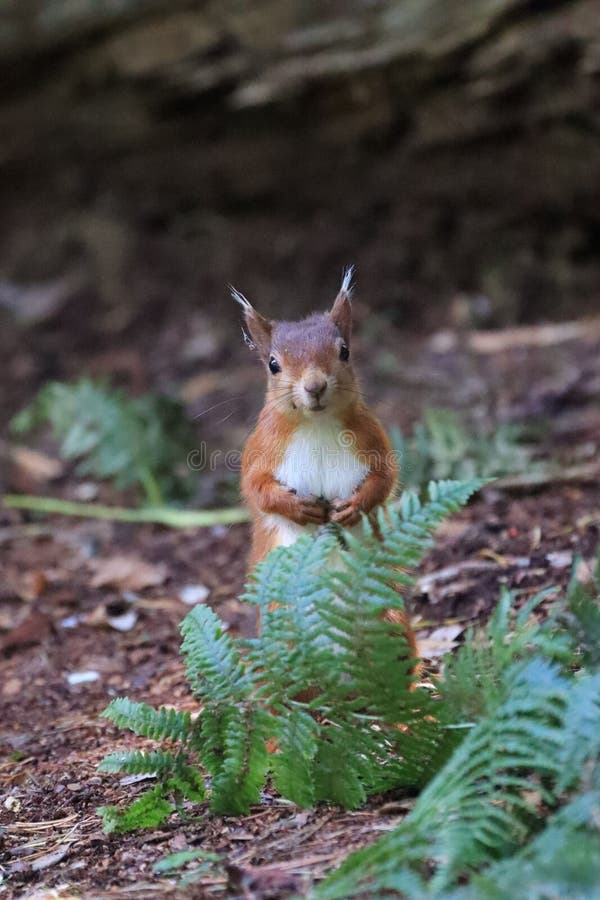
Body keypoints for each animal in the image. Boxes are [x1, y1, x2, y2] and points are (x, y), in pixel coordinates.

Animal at [233, 269, 417, 658]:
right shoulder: (261, 449)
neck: (315, 423)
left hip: (388, 616)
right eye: (273, 364)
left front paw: (354, 506)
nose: (314, 386)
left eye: (344, 351)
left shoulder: (371, 438)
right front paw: (298, 508)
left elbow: (386, 477)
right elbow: (256, 488)